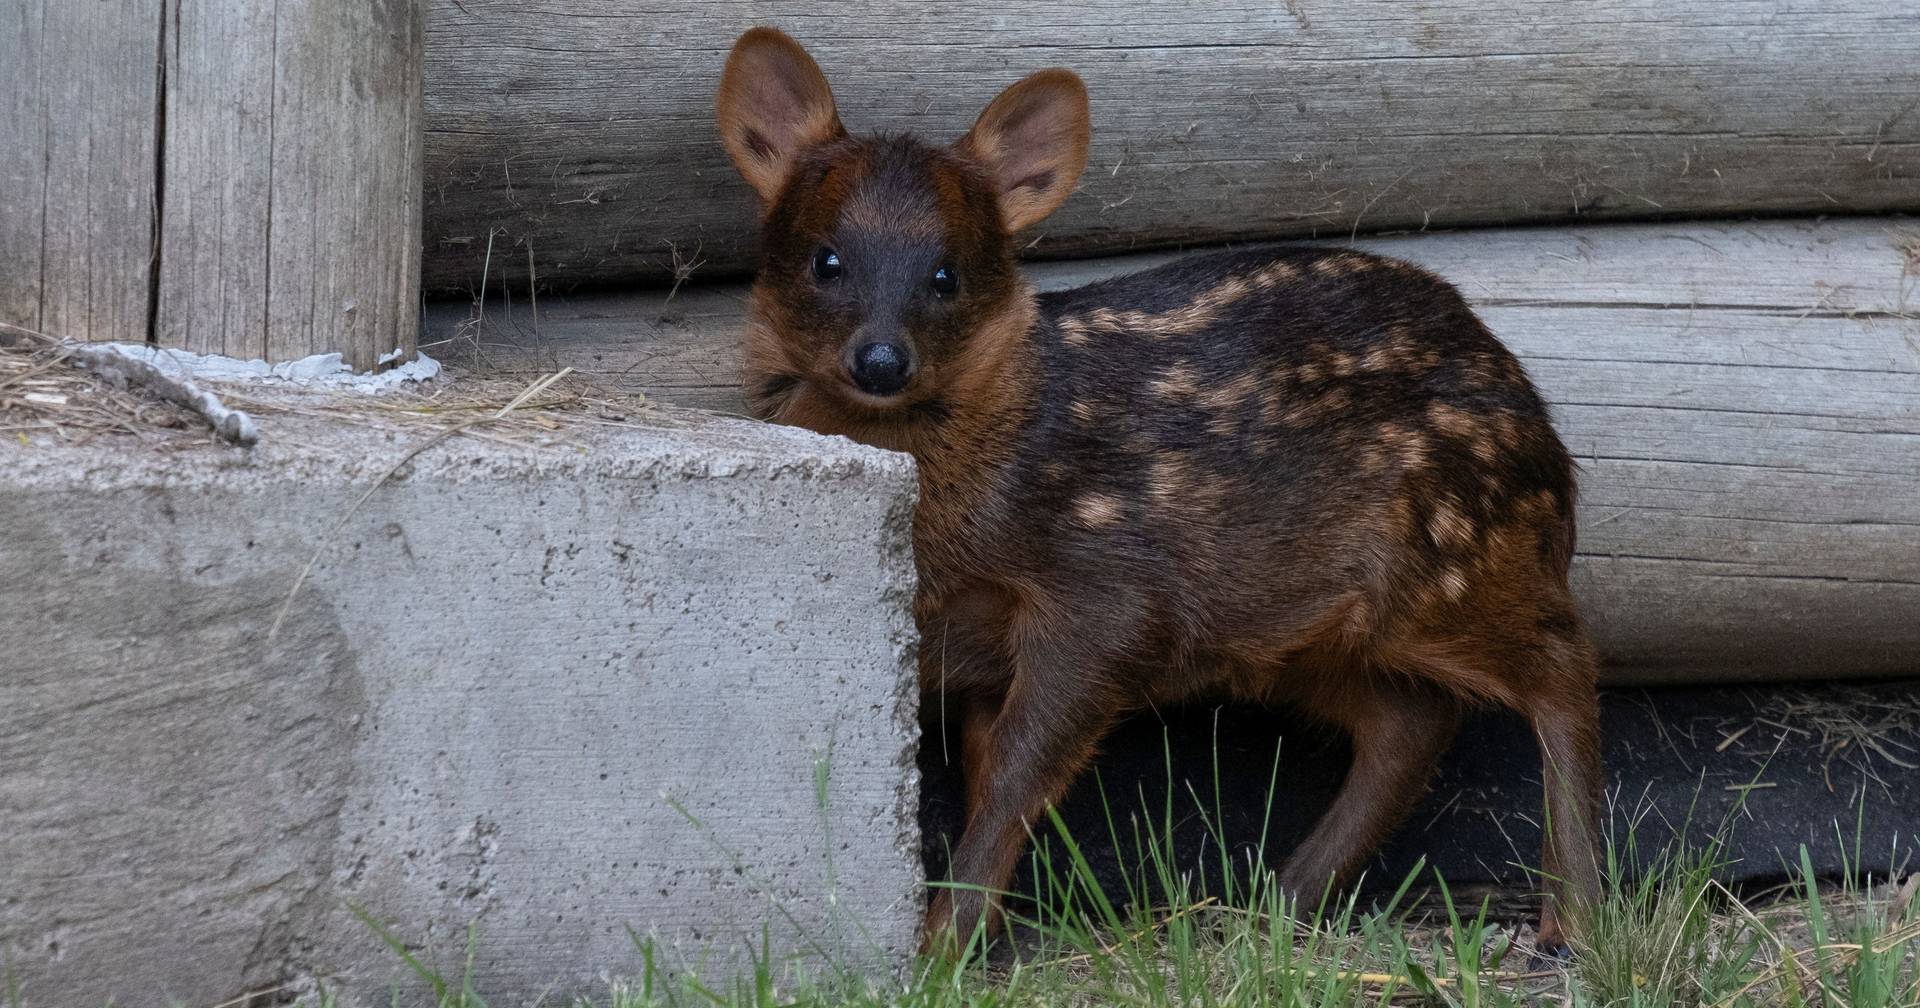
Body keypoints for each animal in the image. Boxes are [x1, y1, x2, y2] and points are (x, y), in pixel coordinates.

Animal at [714, 27, 1605, 957]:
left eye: (946, 275)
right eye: (826, 260)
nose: (882, 360)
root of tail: (1538, 425)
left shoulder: (1108, 596)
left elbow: (1022, 771)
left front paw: (941, 949)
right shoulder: (984, 649)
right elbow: (991, 767)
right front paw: (974, 938)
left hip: (1461, 550)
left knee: (1563, 665)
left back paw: (1573, 920)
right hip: (1299, 627)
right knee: (1412, 722)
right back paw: (1279, 903)